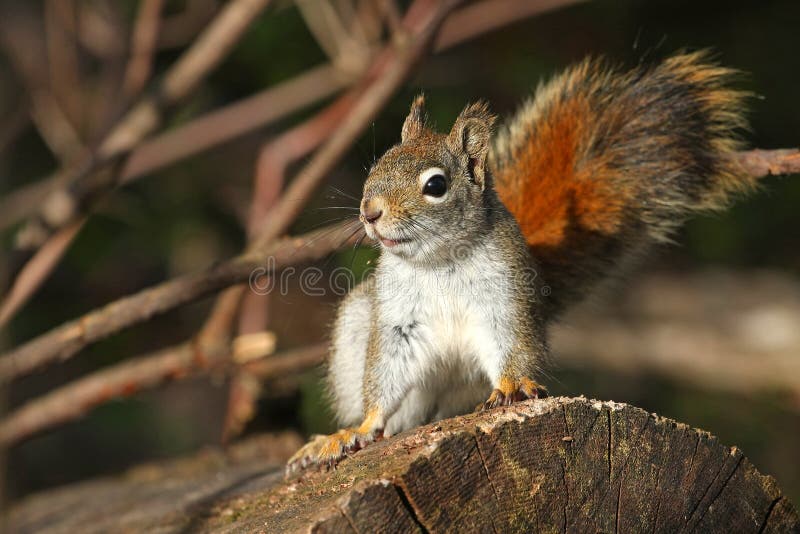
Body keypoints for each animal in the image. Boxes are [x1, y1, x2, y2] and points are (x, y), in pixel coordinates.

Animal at [287, 51, 756, 472]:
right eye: (377, 165)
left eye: (436, 185)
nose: (369, 212)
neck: (441, 261)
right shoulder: (397, 319)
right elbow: (384, 376)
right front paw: (360, 428)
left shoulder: (506, 297)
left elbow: (510, 345)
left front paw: (512, 388)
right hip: (357, 320)